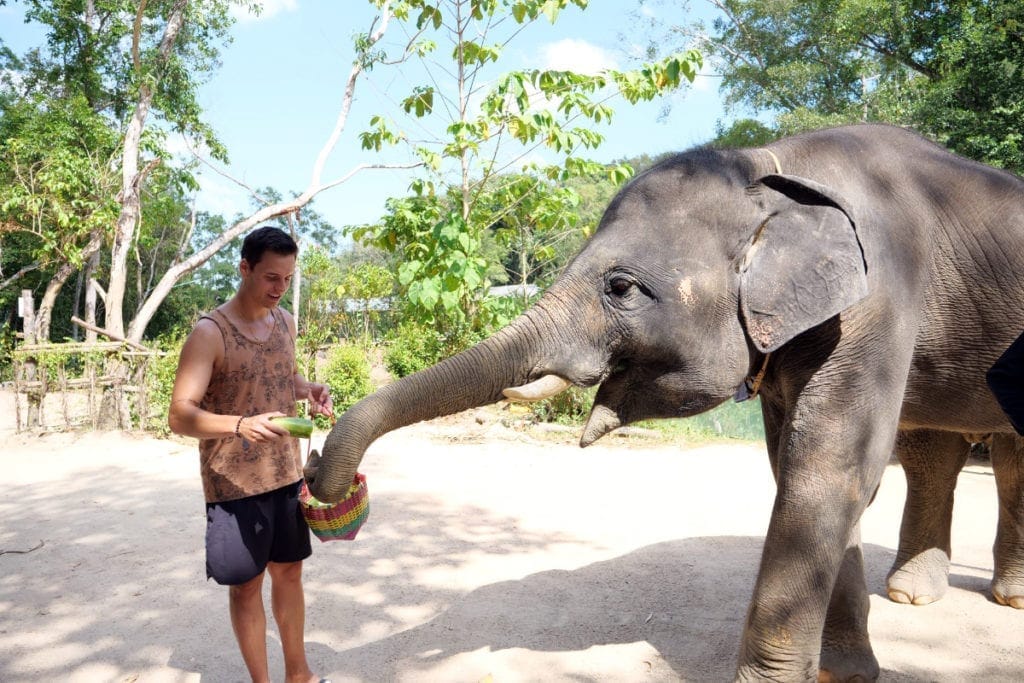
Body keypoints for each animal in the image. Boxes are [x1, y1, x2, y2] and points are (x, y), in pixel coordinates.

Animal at [306, 123, 1024, 681]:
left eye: (622, 287)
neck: (774, 165)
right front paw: (843, 673)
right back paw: (928, 598)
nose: (314, 474)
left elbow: (830, 467)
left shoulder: (882, 299)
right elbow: (801, 466)